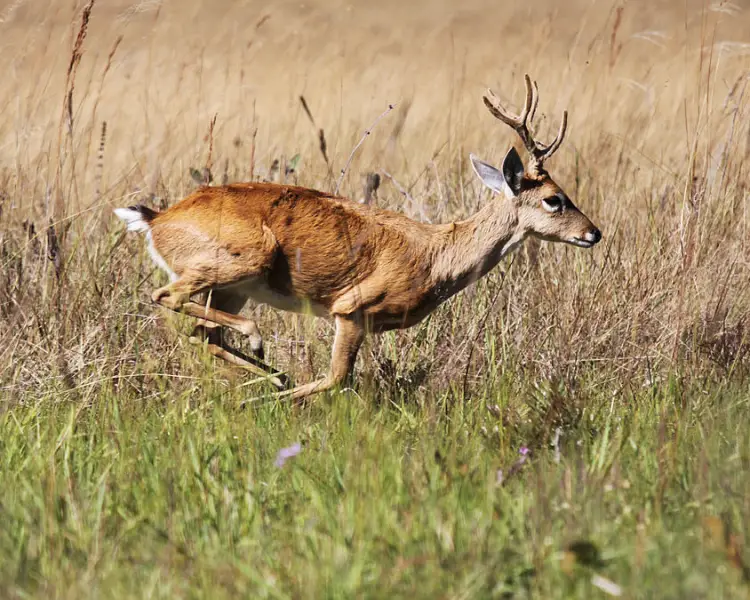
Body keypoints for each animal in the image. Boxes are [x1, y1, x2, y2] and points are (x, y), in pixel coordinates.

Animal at [114, 75, 601, 403]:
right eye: (554, 199)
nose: (593, 233)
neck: (435, 256)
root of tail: (157, 220)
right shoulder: (351, 309)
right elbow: (335, 378)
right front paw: (271, 401)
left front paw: (272, 389)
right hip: (243, 259)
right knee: (167, 296)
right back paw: (260, 354)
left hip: (235, 286)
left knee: (203, 332)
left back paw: (269, 372)